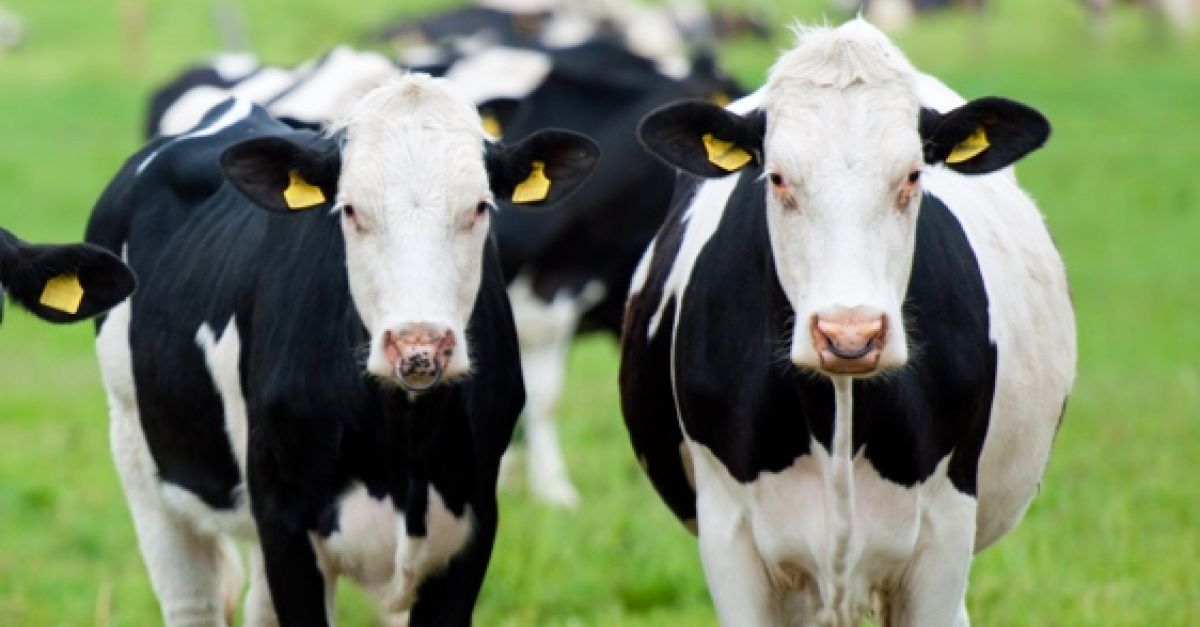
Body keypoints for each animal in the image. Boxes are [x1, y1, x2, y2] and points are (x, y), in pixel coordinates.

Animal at [87, 75, 598, 626]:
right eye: (351, 210)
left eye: (480, 206)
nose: (419, 345)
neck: (404, 442)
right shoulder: (287, 527)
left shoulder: (471, 528)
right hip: (140, 457)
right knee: (192, 599)